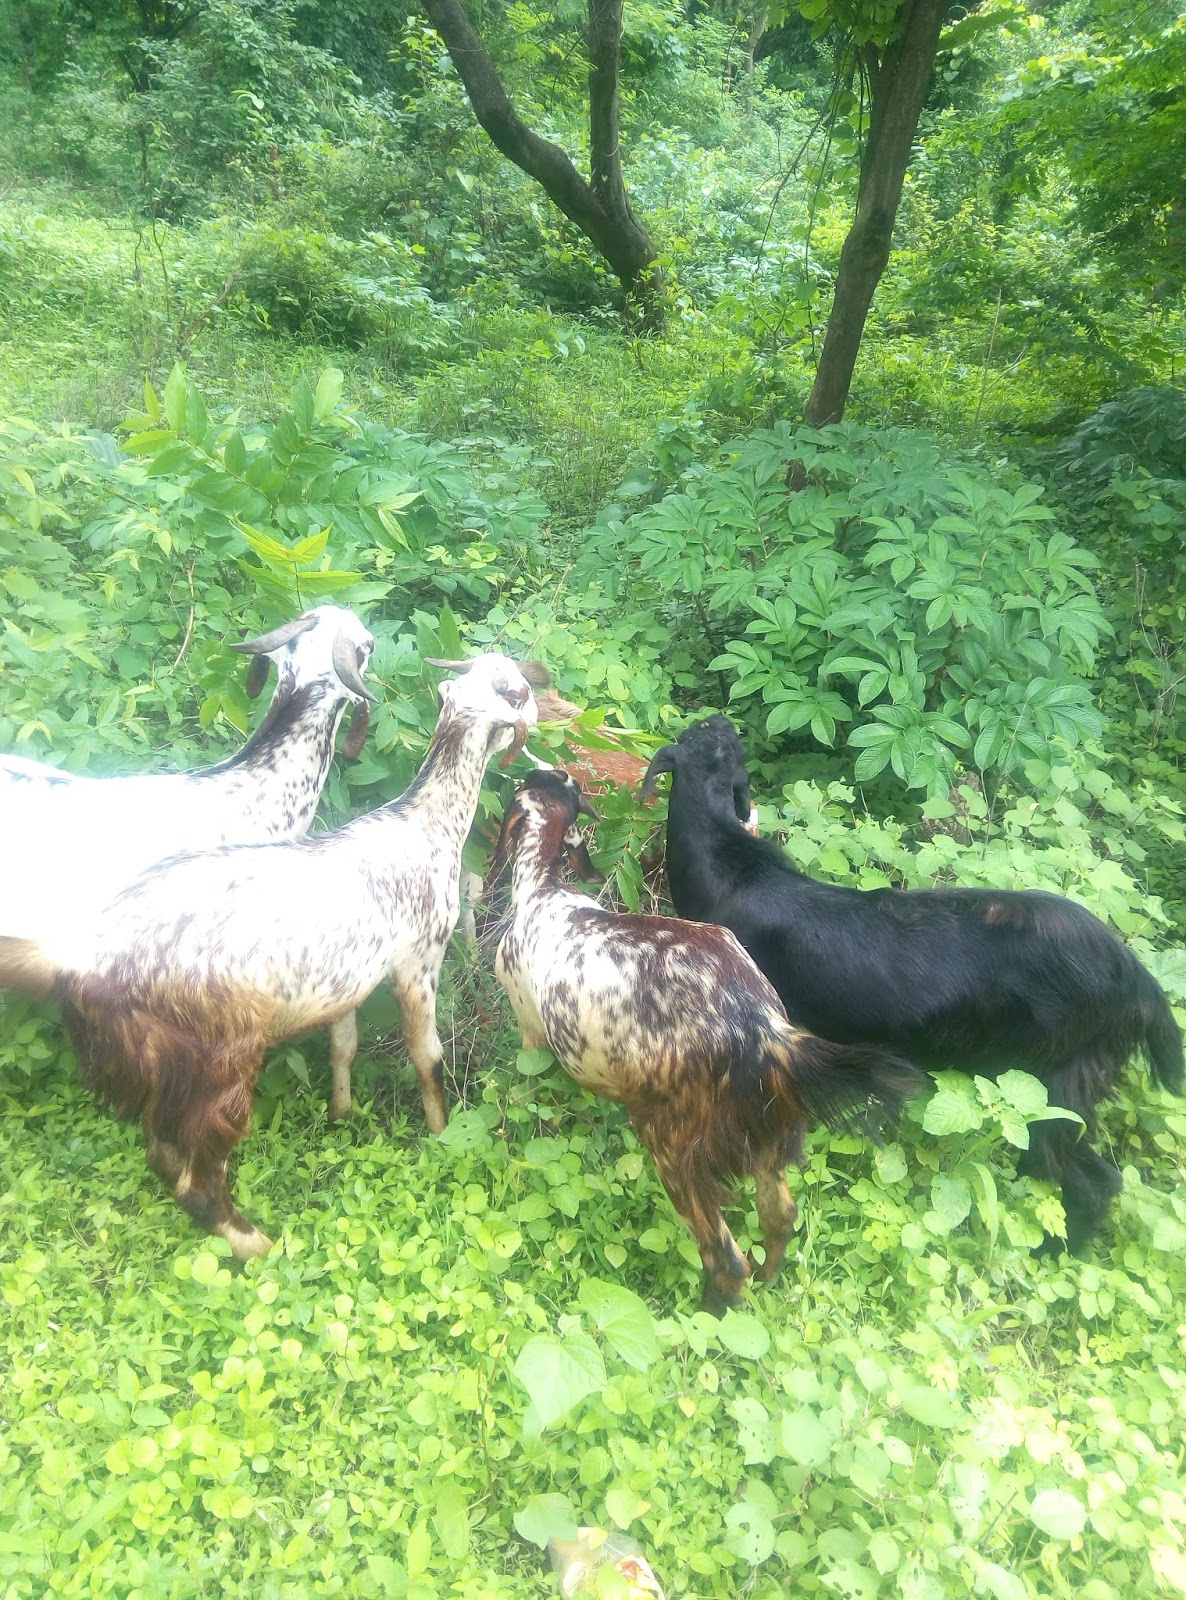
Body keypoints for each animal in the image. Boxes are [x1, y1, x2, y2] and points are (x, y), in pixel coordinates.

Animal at [0, 654, 542, 1259]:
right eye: (516, 691)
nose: (539, 709)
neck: (425, 824)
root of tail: (78, 957)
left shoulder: (345, 981)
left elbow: (343, 1046)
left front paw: (340, 1114)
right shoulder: (419, 959)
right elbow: (427, 1056)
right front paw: (441, 1132)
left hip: (158, 1065)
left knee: (163, 1155)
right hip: (217, 1058)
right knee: (196, 1170)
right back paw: (259, 1246)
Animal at [491, 768, 922, 1313]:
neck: (543, 891)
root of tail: (761, 1027)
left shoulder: (530, 1030)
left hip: (675, 1143)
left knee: (725, 1257)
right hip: (767, 1131)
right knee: (780, 1215)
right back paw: (767, 1286)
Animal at [642, 714, 1185, 1254]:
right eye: (713, 744)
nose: (718, 718)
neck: (729, 866)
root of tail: (1136, 981)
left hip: (1050, 1088)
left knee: (1091, 1181)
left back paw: (1056, 1251)